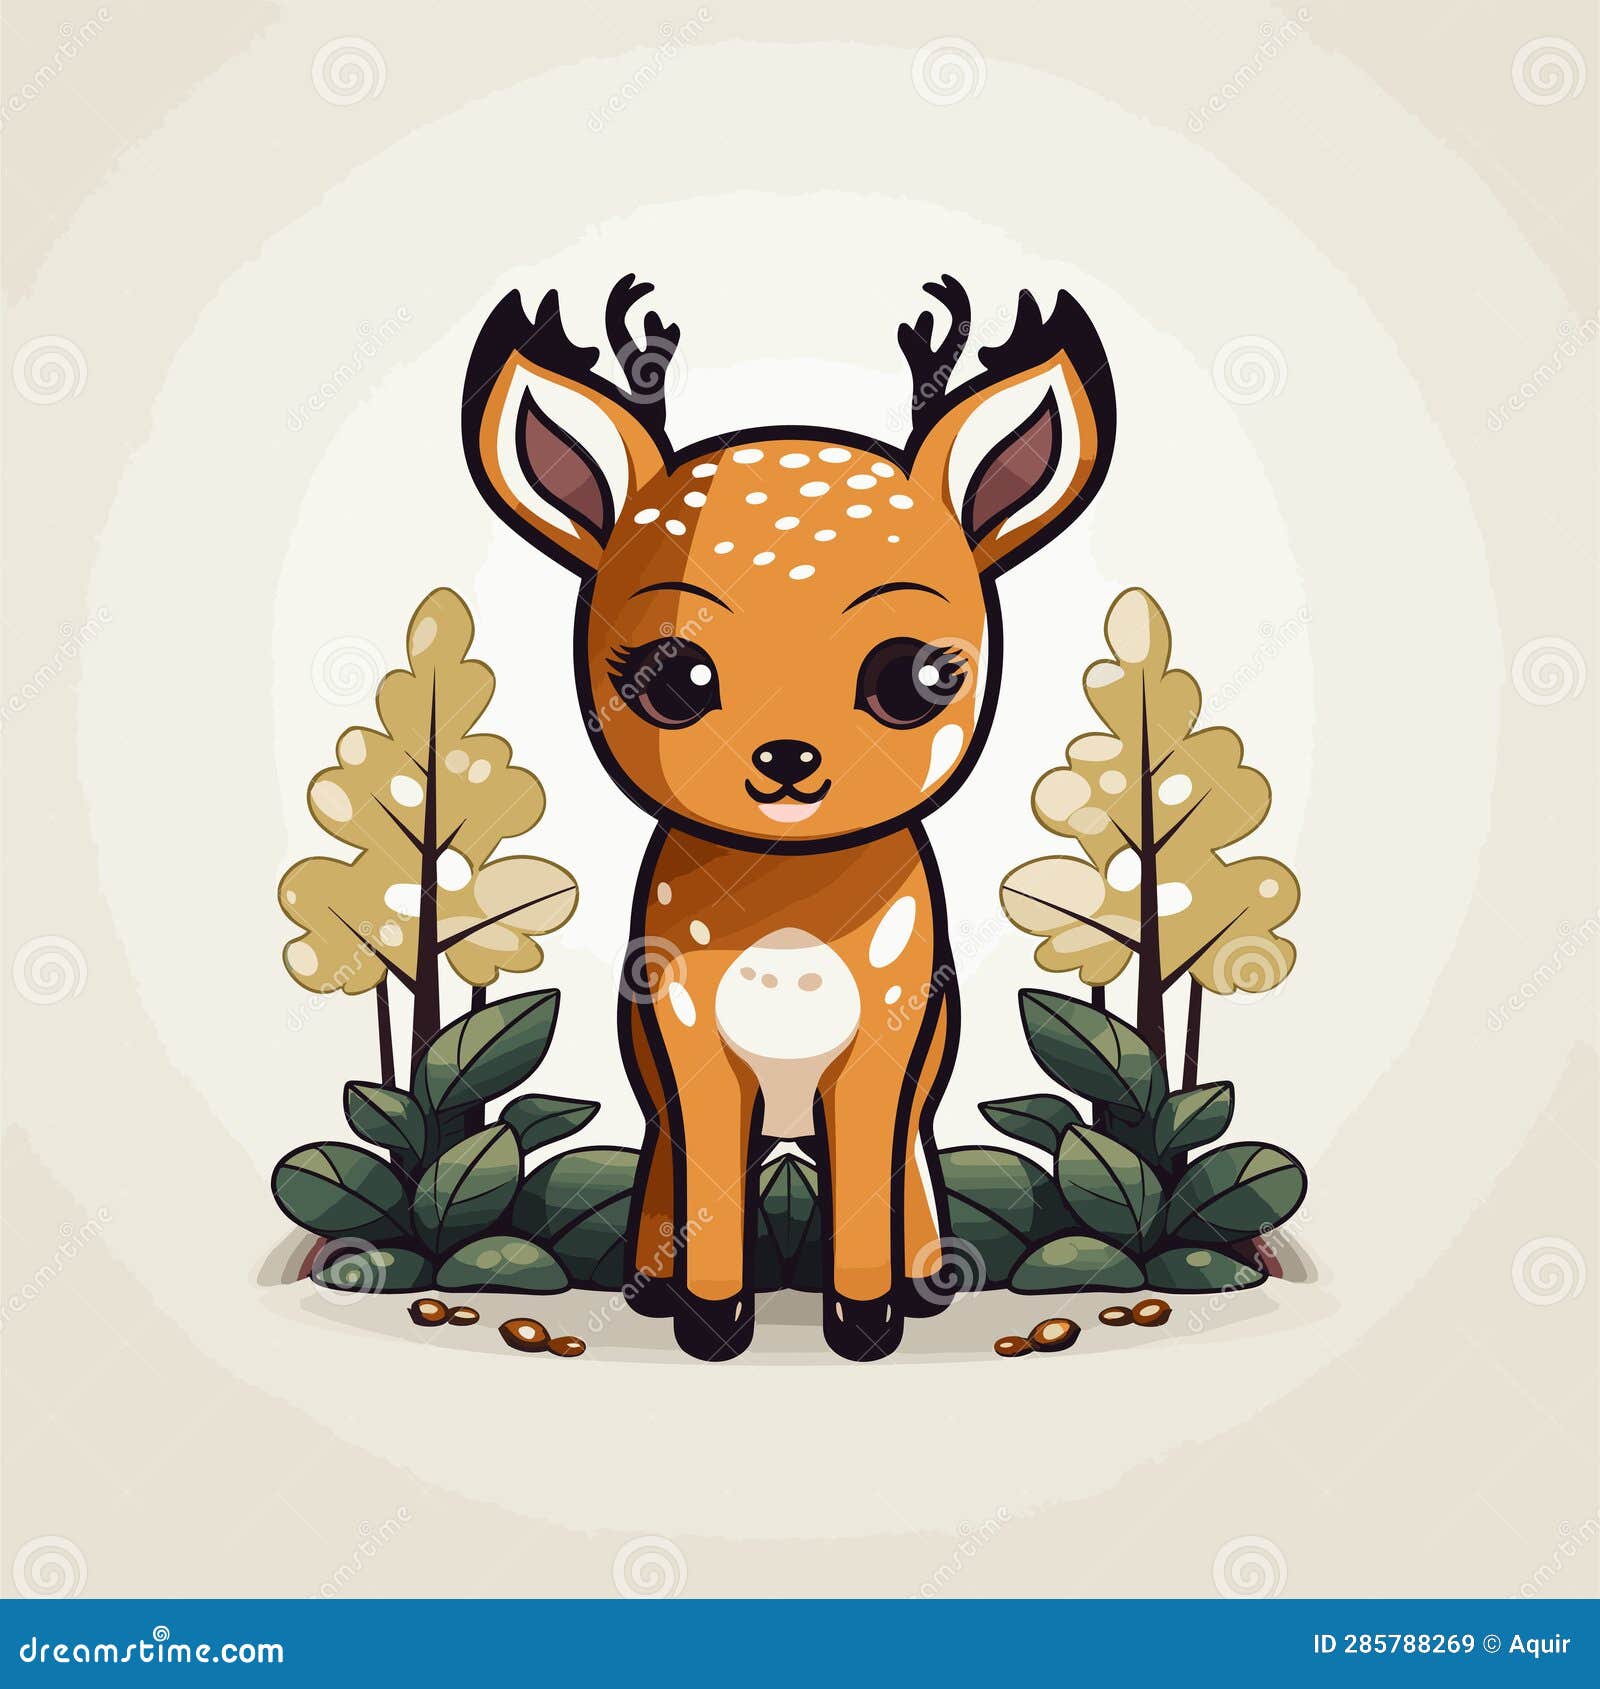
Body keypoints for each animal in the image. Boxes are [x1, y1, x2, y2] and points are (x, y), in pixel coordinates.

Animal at [461, 274, 1115, 1361]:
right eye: (671, 678)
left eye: (914, 675)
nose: (786, 759)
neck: (788, 908)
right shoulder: (687, 1042)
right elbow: (711, 1180)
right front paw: (712, 1319)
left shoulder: (888, 1041)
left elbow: (867, 1170)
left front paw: (866, 1317)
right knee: (670, 1160)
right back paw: (650, 1284)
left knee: (905, 1164)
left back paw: (929, 1278)